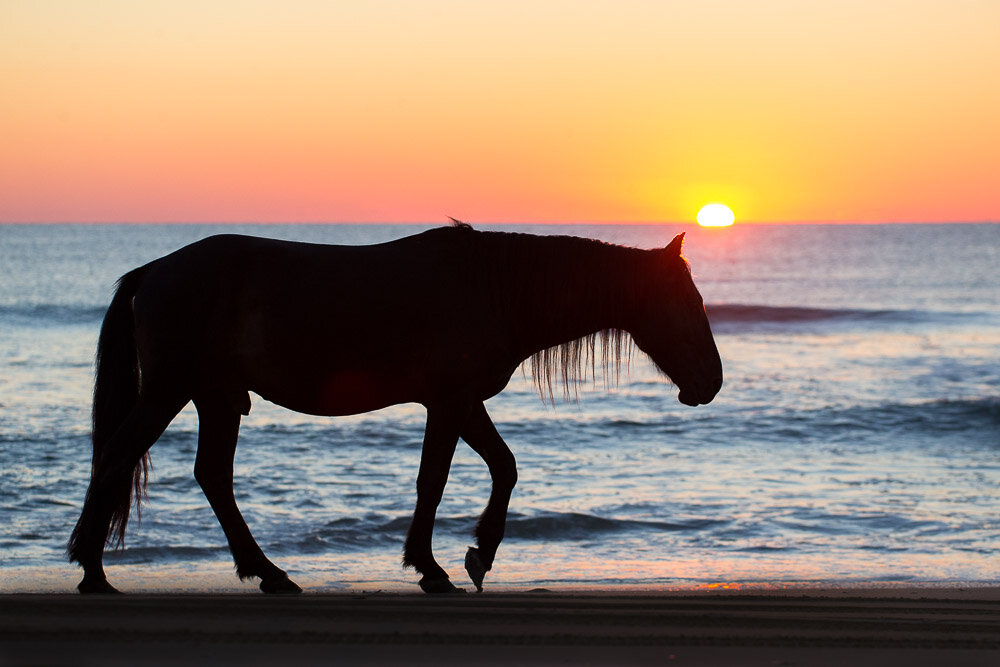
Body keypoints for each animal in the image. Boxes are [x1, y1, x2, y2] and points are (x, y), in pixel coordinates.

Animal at [68, 222, 723, 594]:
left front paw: (479, 554)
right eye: (688, 303)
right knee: (119, 458)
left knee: (212, 477)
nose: (711, 382)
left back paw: (268, 574)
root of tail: (153, 272)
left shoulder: (462, 402)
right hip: (170, 390)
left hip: (216, 398)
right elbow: (434, 480)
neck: (494, 288)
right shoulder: (449, 402)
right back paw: (94, 573)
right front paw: (434, 567)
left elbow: (503, 467)